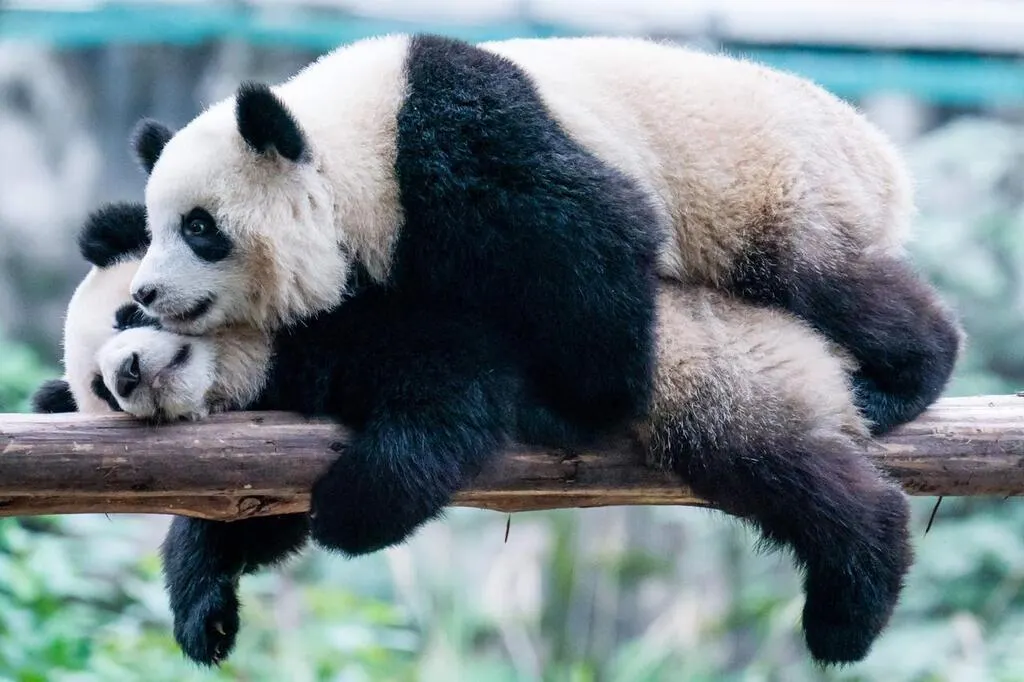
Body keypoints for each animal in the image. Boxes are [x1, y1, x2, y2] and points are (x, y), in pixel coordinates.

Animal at [38, 200, 915, 667]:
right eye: (98, 394)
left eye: (129, 312)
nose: (125, 375)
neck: (258, 352)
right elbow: (253, 513)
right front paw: (207, 614)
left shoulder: (376, 306)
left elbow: (454, 387)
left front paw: (353, 511)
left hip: (719, 373)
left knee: (793, 478)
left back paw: (851, 603)